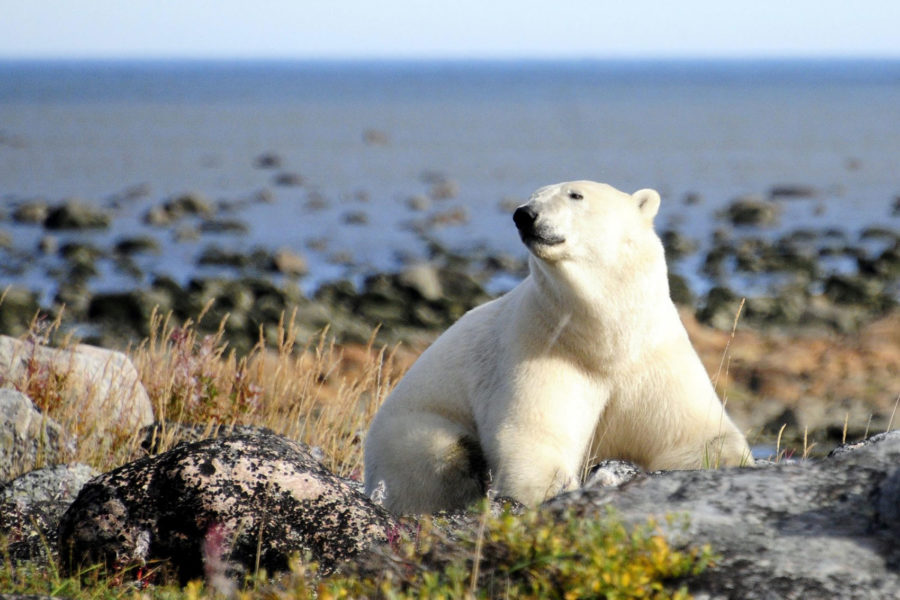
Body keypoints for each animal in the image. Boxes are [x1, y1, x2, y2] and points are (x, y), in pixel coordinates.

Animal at [364, 180, 753, 514]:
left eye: (575, 195)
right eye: (532, 196)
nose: (524, 214)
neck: (605, 343)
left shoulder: (654, 359)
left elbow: (696, 435)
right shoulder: (543, 347)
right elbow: (533, 434)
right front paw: (551, 492)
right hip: (407, 431)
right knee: (441, 455)